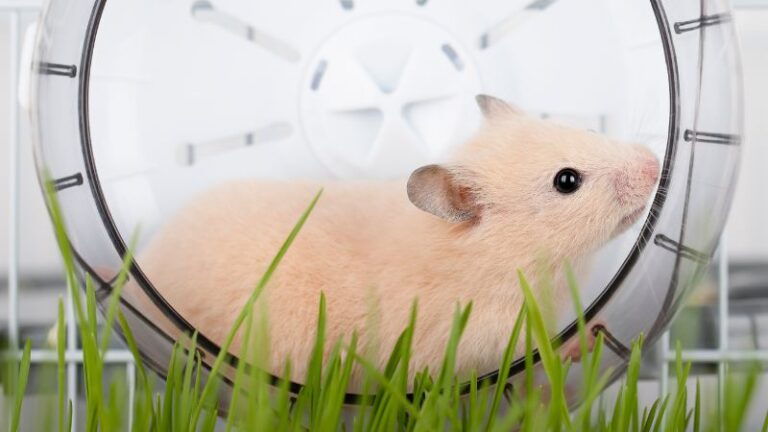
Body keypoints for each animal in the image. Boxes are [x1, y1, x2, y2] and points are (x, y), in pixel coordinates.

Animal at [135, 95, 660, 385]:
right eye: (567, 181)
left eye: (588, 127)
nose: (655, 165)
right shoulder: (488, 341)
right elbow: (546, 352)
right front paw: (590, 338)